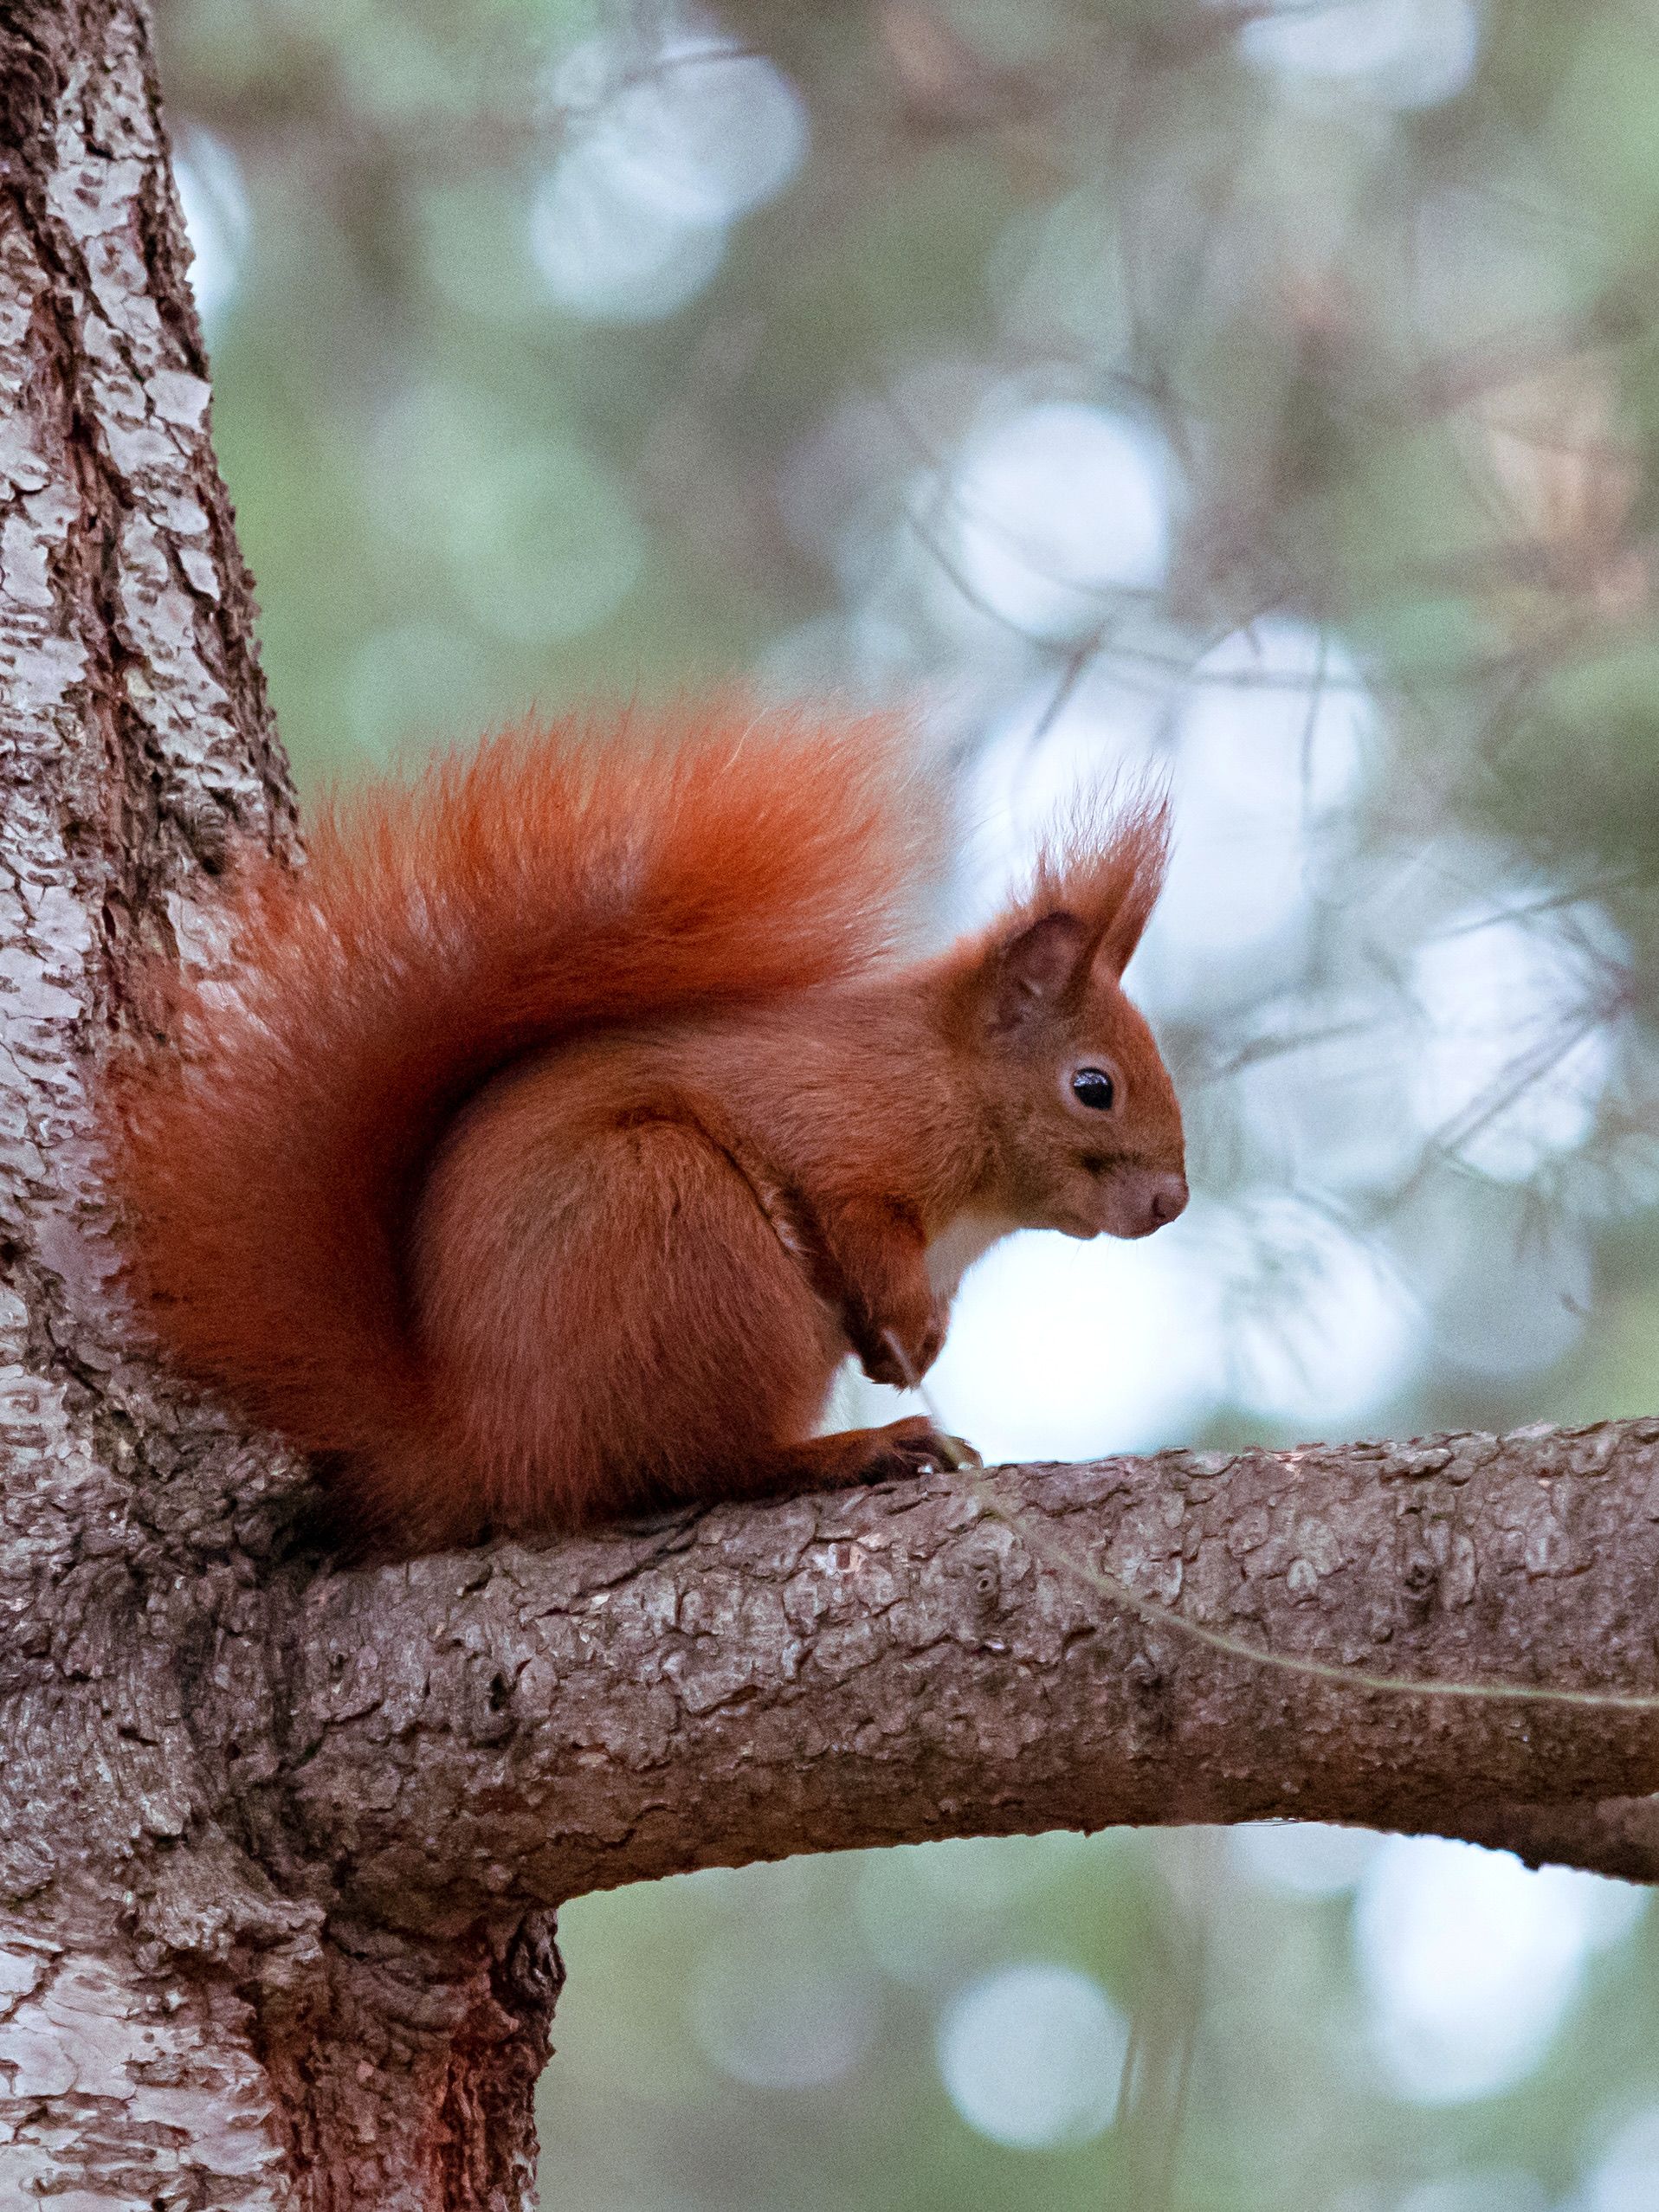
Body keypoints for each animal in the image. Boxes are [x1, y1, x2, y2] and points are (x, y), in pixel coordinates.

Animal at [107, 701, 1187, 1554]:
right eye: (1092, 1085)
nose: (1171, 1202)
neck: (949, 1079)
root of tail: (485, 1440)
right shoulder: (845, 1131)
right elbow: (860, 1227)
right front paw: (909, 1341)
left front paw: (912, 1348)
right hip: (677, 1232)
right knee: (701, 1460)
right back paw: (851, 1448)